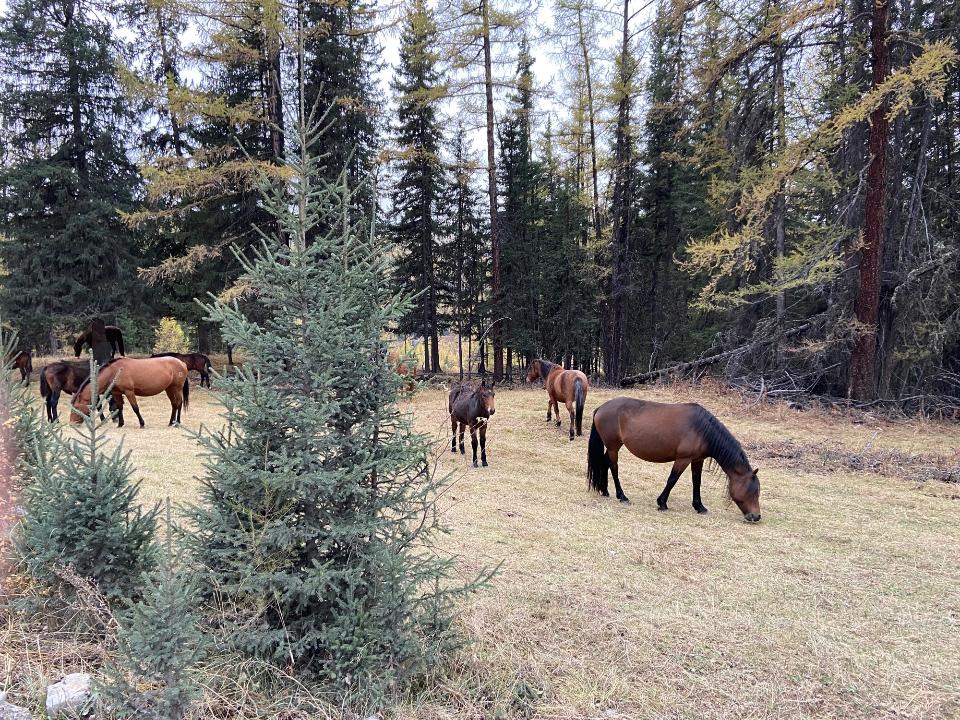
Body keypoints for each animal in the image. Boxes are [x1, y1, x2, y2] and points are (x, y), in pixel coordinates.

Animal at [588, 400, 760, 524]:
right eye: (753, 491)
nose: (756, 516)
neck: (702, 429)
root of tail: (601, 408)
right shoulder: (683, 459)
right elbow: (672, 479)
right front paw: (662, 503)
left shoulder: (697, 460)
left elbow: (696, 482)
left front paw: (699, 506)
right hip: (613, 447)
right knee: (614, 468)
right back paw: (622, 496)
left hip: (611, 448)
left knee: (605, 464)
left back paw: (604, 490)